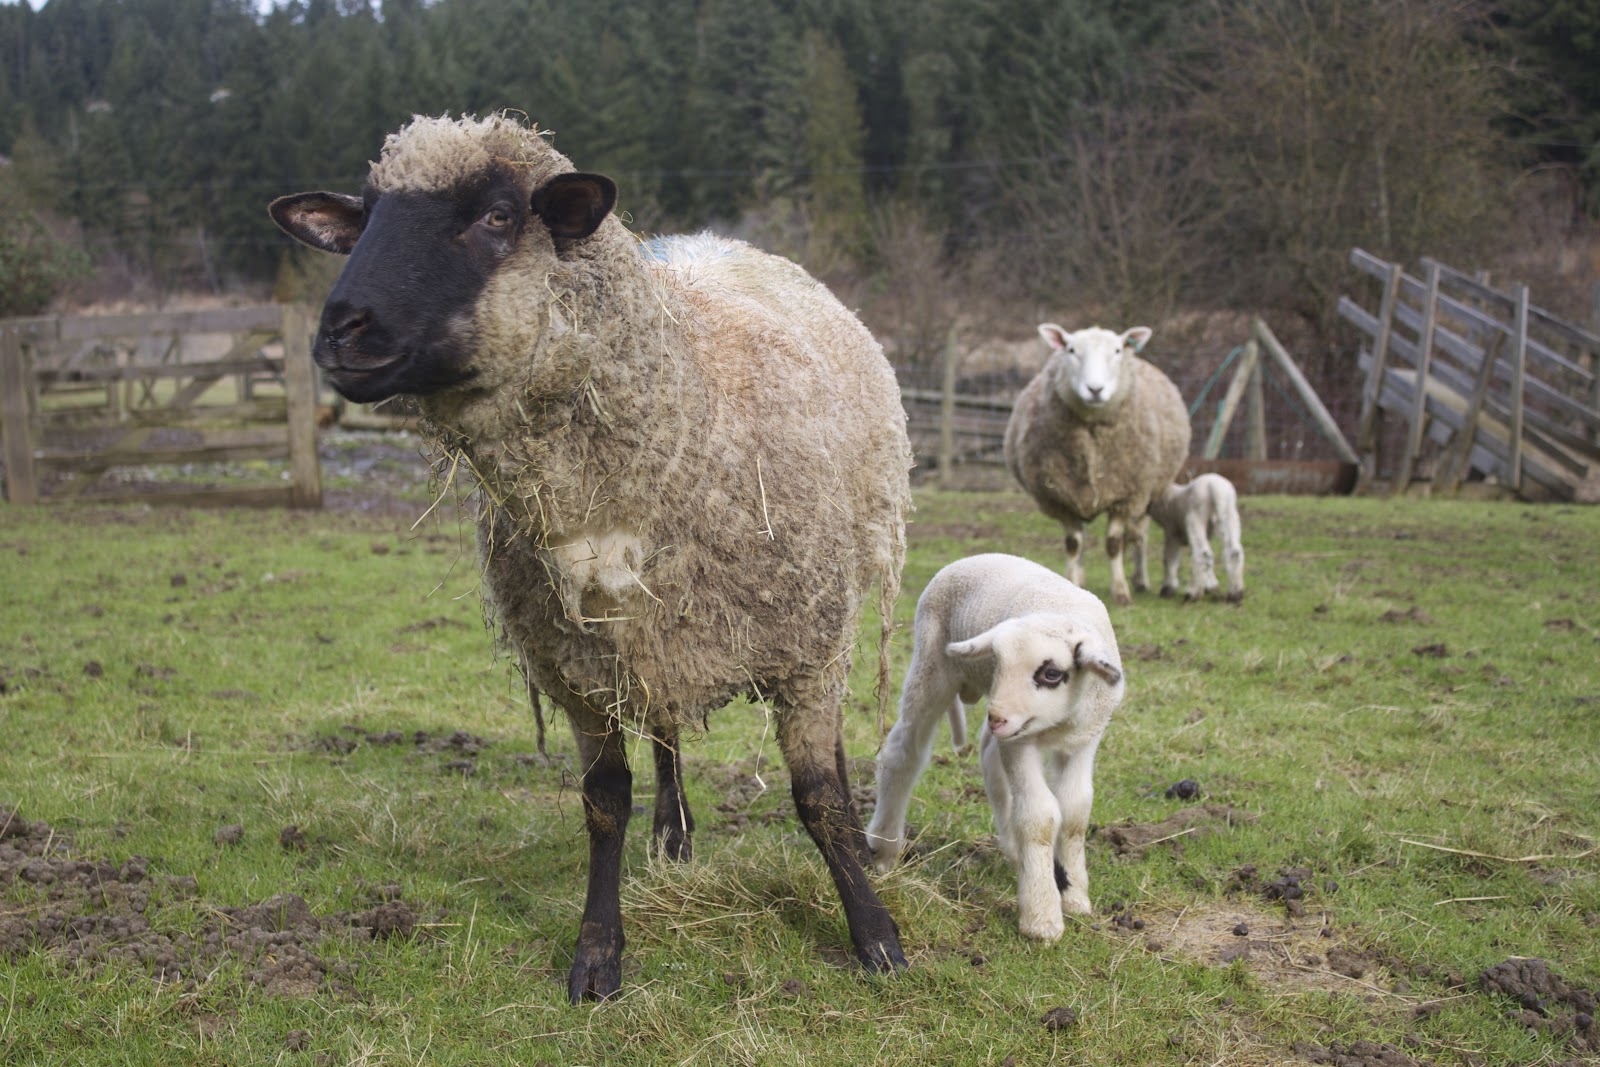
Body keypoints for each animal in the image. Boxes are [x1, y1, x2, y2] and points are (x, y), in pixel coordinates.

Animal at [267, 113, 914, 1001]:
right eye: (362, 218)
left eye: (498, 215)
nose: (340, 330)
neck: (683, 429)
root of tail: (707, 241)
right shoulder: (577, 669)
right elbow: (604, 803)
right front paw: (597, 954)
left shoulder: (805, 650)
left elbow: (819, 798)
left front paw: (875, 934)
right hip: (653, 642)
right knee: (667, 732)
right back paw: (673, 837)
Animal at [866, 553, 1125, 941]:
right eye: (999, 665)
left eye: (1051, 674)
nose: (996, 719)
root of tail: (971, 558)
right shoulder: (1020, 741)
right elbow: (1039, 817)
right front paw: (1042, 917)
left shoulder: (1083, 740)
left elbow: (1075, 811)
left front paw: (1075, 894)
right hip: (931, 667)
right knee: (902, 752)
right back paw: (884, 849)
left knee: (990, 760)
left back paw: (1017, 853)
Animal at [1004, 324, 1191, 605]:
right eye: (1071, 350)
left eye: (1116, 351)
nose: (1095, 389)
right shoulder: (1060, 497)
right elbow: (1073, 543)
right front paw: (1072, 582)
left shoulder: (1126, 496)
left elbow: (1114, 544)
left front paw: (1121, 592)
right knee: (1082, 539)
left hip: (1148, 494)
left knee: (1138, 535)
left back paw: (1140, 580)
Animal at [1149, 473, 1245, 603]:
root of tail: (1215, 487)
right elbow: (1209, 564)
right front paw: (1211, 586)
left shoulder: (1172, 533)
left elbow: (1169, 560)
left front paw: (1168, 588)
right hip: (1230, 515)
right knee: (1233, 552)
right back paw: (1235, 594)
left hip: (1196, 517)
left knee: (1202, 554)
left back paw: (1192, 594)